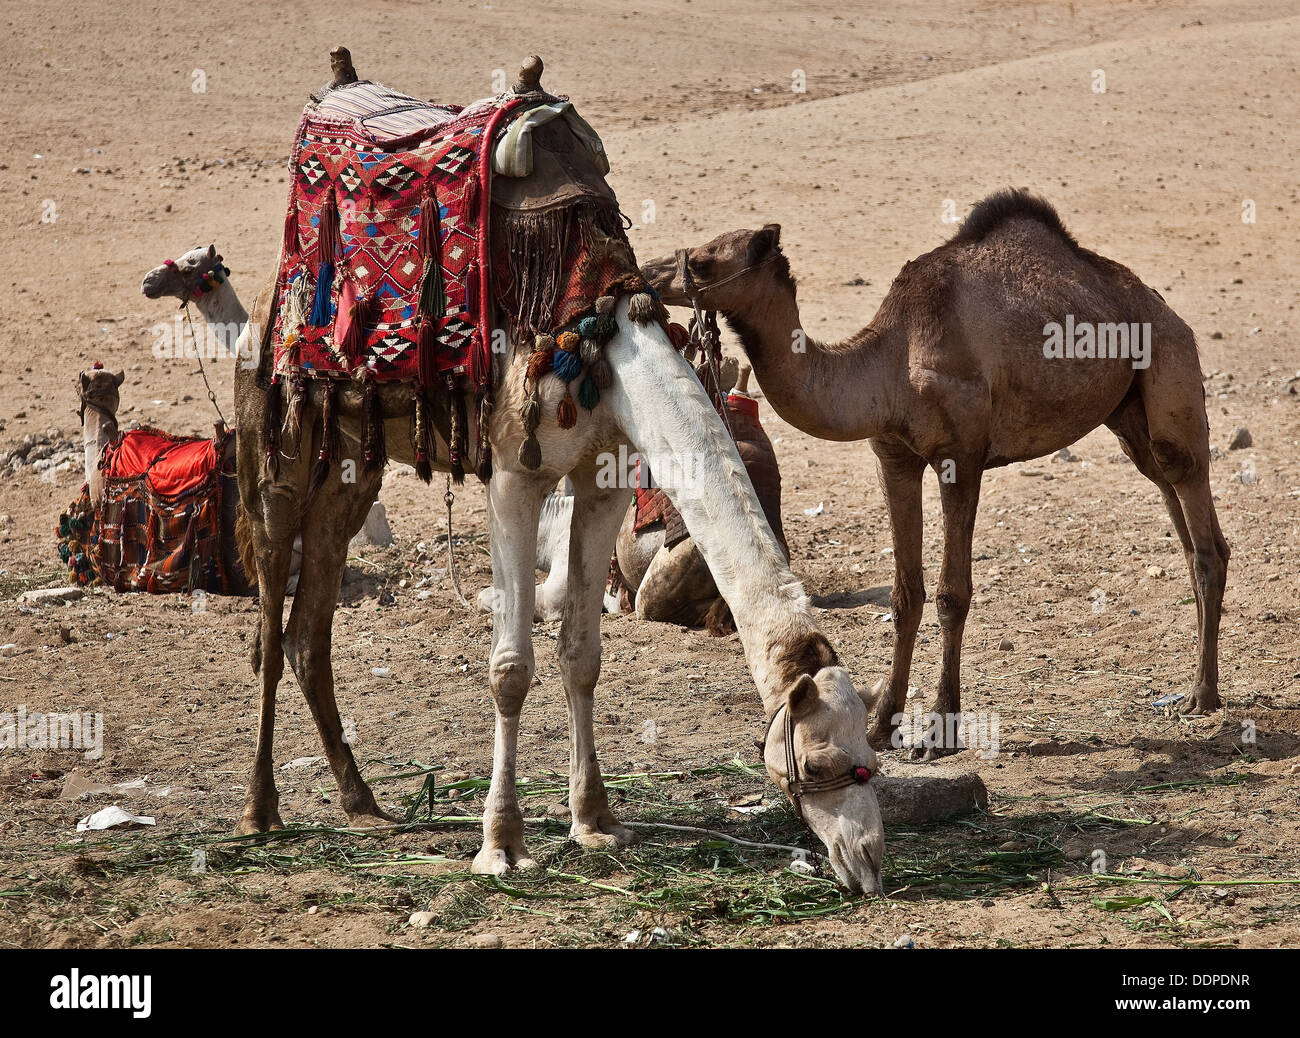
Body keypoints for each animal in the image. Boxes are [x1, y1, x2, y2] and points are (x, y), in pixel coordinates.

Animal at [231, 51, 883, 893]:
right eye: (825, 758)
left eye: (874, 755)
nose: (867, 860)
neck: (602, 344)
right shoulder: (516, 476)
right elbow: (511, 668)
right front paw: (501, 843)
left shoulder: (603, 483)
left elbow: (582, 654)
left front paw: (596, 822)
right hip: (274, 437)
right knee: (270, 616)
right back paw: (259, 811)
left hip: (351, 464)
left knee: (310, 628)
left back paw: (364, 803)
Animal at [642, 189, 1229, 757]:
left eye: (704, 260)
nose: (645, 274)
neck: (887, 365)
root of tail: (1168, 311)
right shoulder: (894, 458)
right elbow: (905, 595)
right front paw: (883, 724)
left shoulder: (960, 457)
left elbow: (952, 594)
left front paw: (939, 731)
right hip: (1128, 415)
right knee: (1176, 502)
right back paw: (1199, 687)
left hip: (1170, 363)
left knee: (1195, 512)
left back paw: (1201, 695)